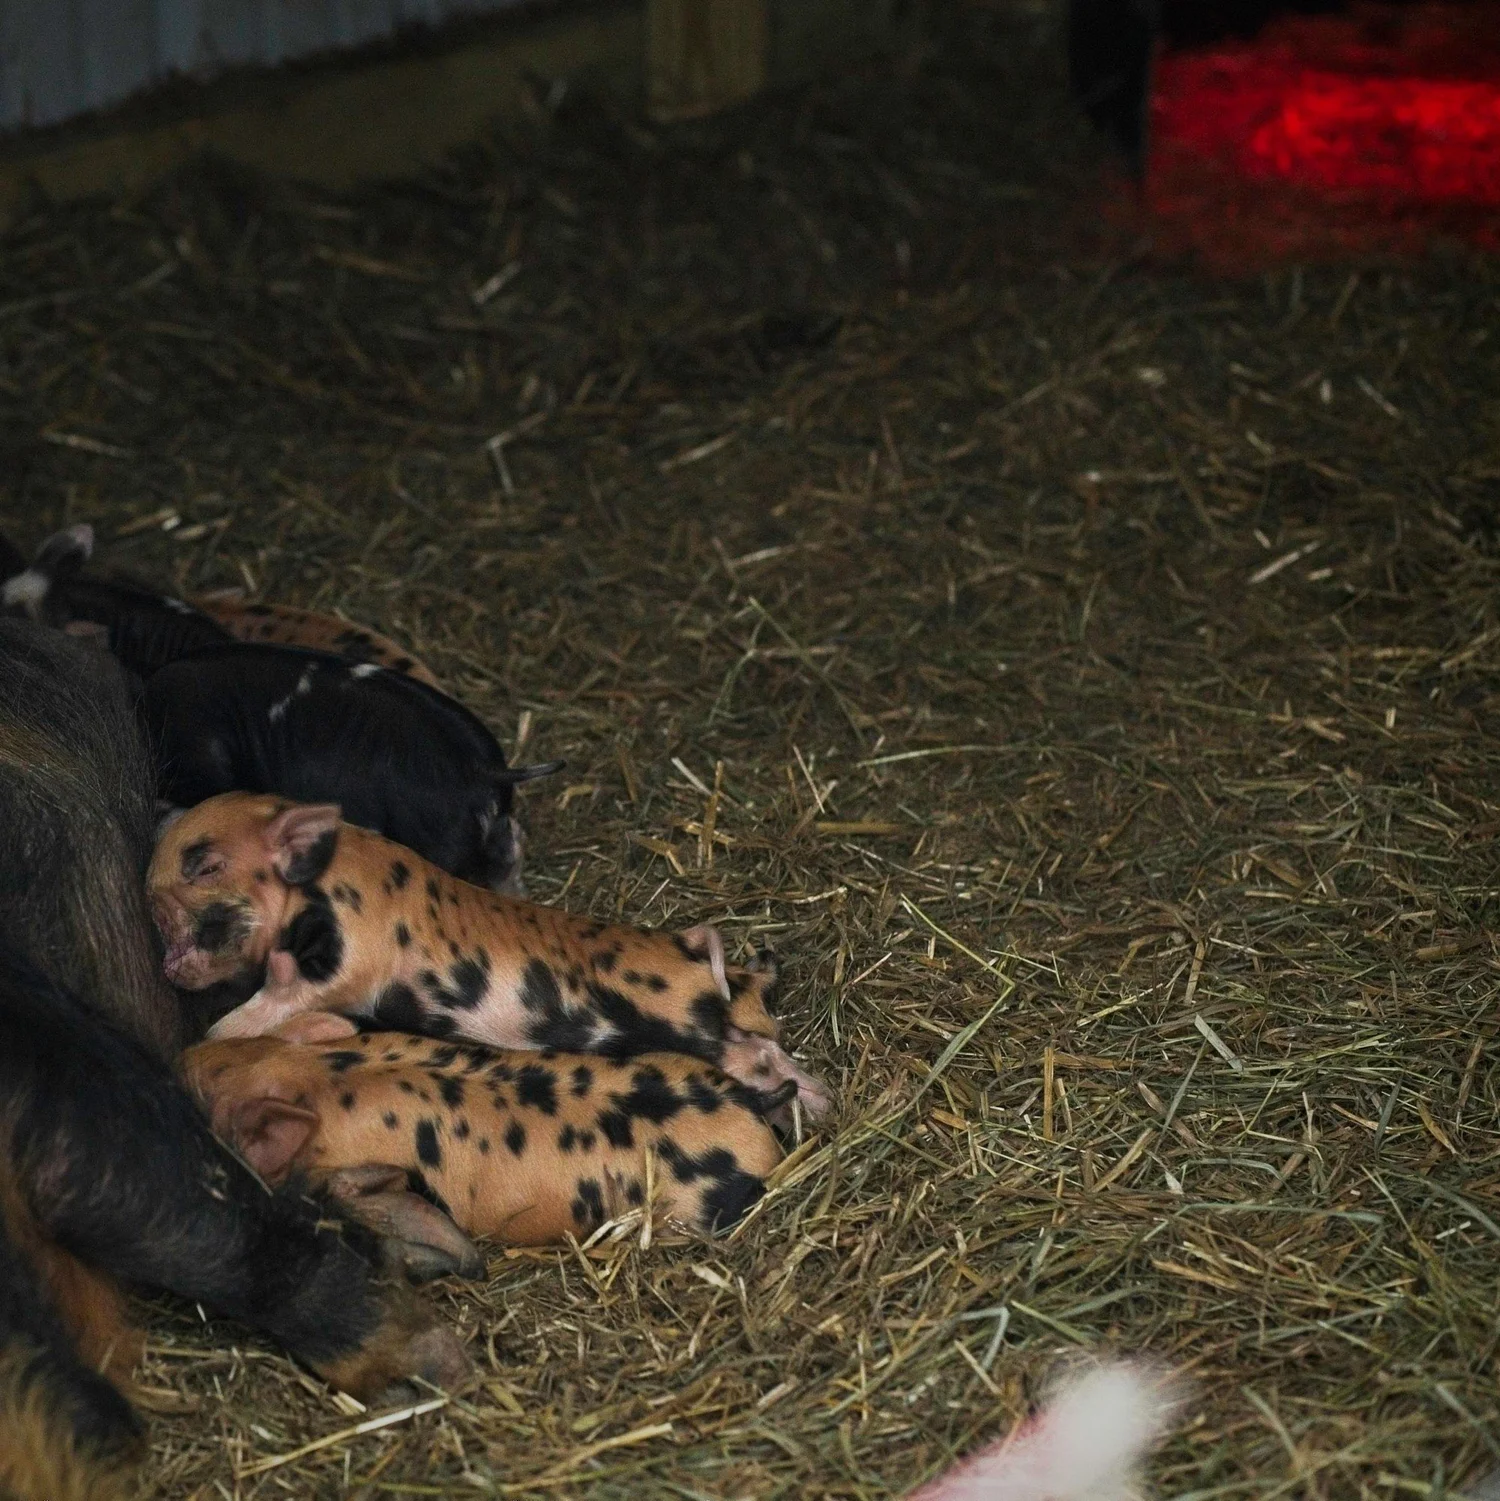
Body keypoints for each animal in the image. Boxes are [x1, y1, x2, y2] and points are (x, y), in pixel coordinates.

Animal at [148, 793, 833, 1119]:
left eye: (204, 865)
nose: (153, 910)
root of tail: (698, 955)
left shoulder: (348, 956)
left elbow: (257, 1011)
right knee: (762, 1055)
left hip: (681, 1019)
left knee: (759, 1053)